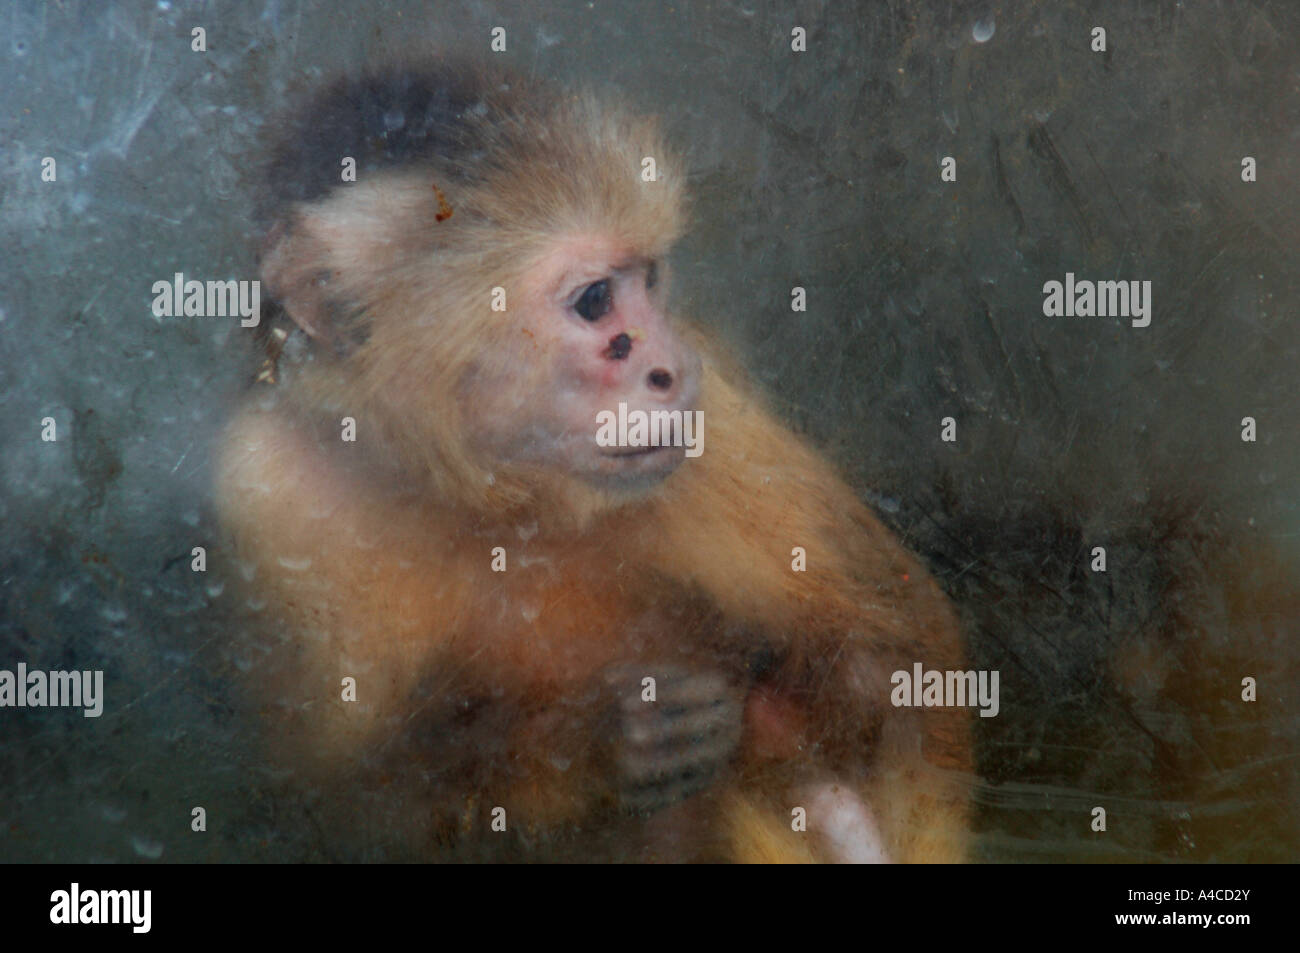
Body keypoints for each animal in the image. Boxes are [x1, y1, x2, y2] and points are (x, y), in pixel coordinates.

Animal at [215, 62, 971, 863]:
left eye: (650, 279)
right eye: (597, 300)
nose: (672, 364)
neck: (495, 496)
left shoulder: (716, 427)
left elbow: (901, 653)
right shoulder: (259, 483)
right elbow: (317, 802)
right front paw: (589, 748)